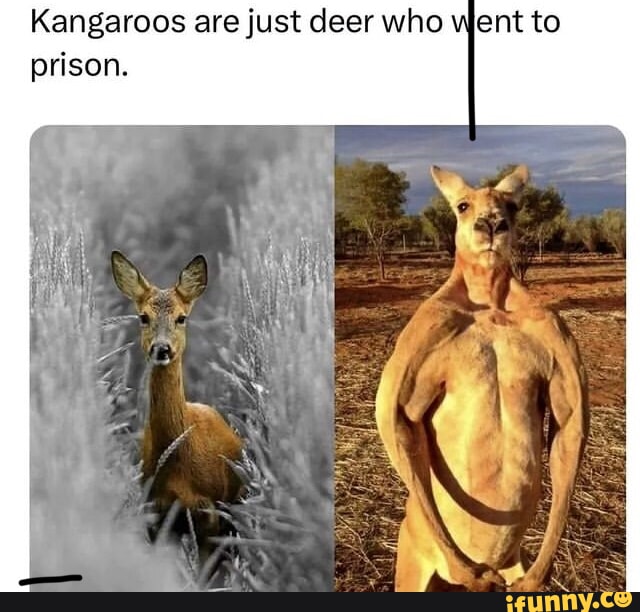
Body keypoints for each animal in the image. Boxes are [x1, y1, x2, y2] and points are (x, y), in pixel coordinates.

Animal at [375, 165, 589, 592]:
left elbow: (569, 423)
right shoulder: (424, 332)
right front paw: (468, 571)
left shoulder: (555, 334)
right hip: (413, 561)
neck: (490, 302)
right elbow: (398, 418)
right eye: (462, 205)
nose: (491, 224)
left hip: (509, 562)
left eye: (513, 205)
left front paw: (539, 576)